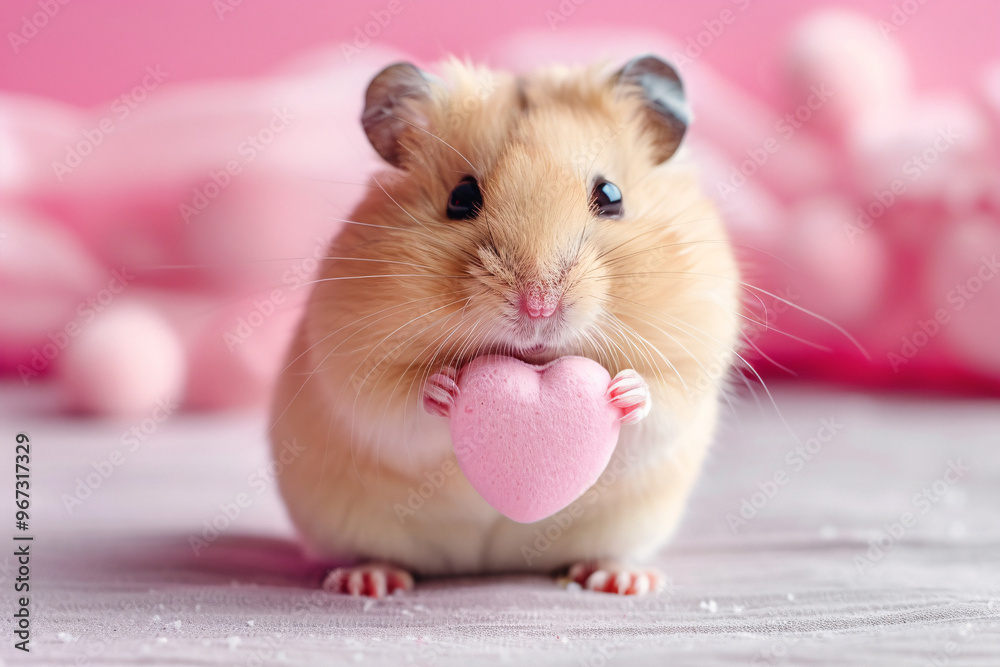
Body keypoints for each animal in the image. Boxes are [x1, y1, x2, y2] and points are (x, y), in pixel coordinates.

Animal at [269, 55, 740, 597]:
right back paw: (368, 581)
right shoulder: (352, 367)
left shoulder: (694, 358)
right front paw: (445, 389)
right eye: (460, 197)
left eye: (611, 195)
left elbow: (660, 402)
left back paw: (621, 579)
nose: (538, 306)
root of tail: (484, 566)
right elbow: (399, 408)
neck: (532, 360)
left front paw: (624, 390)